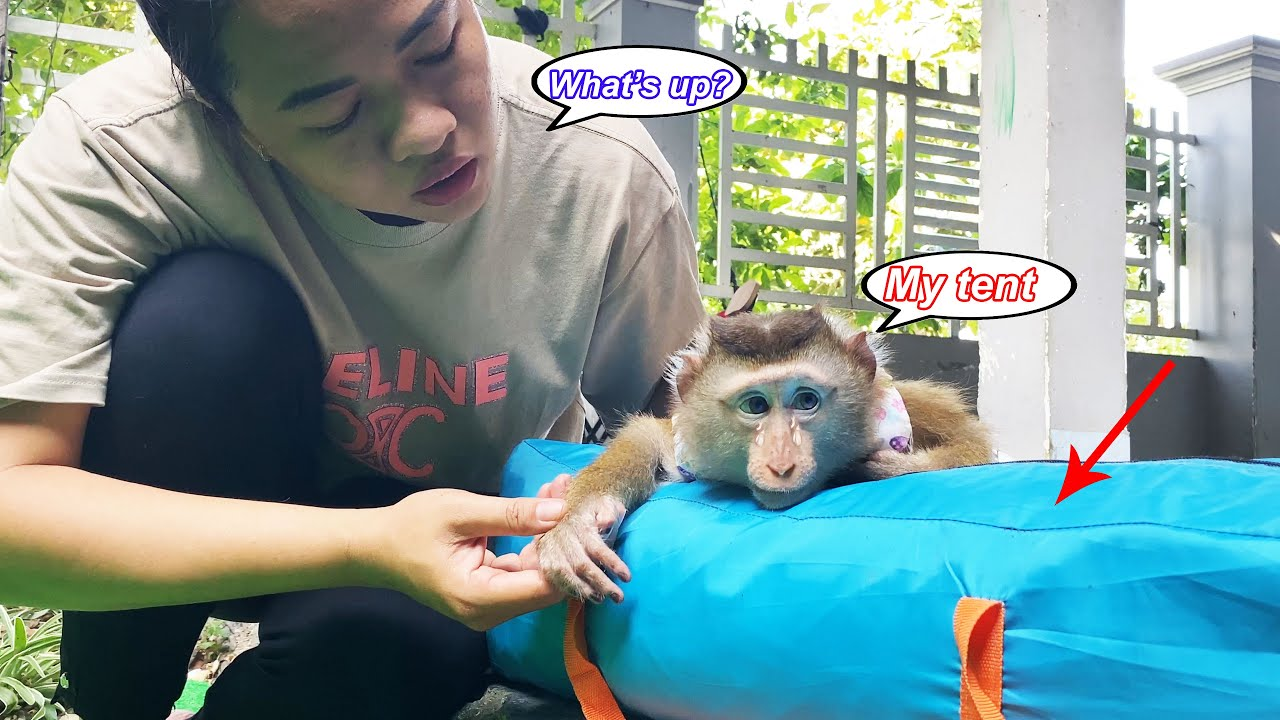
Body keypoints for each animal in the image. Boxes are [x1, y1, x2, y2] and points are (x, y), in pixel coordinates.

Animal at [535, 303, 995, 604]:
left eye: (806, 400)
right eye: (755, 406)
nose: (781, 463)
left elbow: (975, 446)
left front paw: (886, 468)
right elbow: (647, 436)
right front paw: (579, 519)